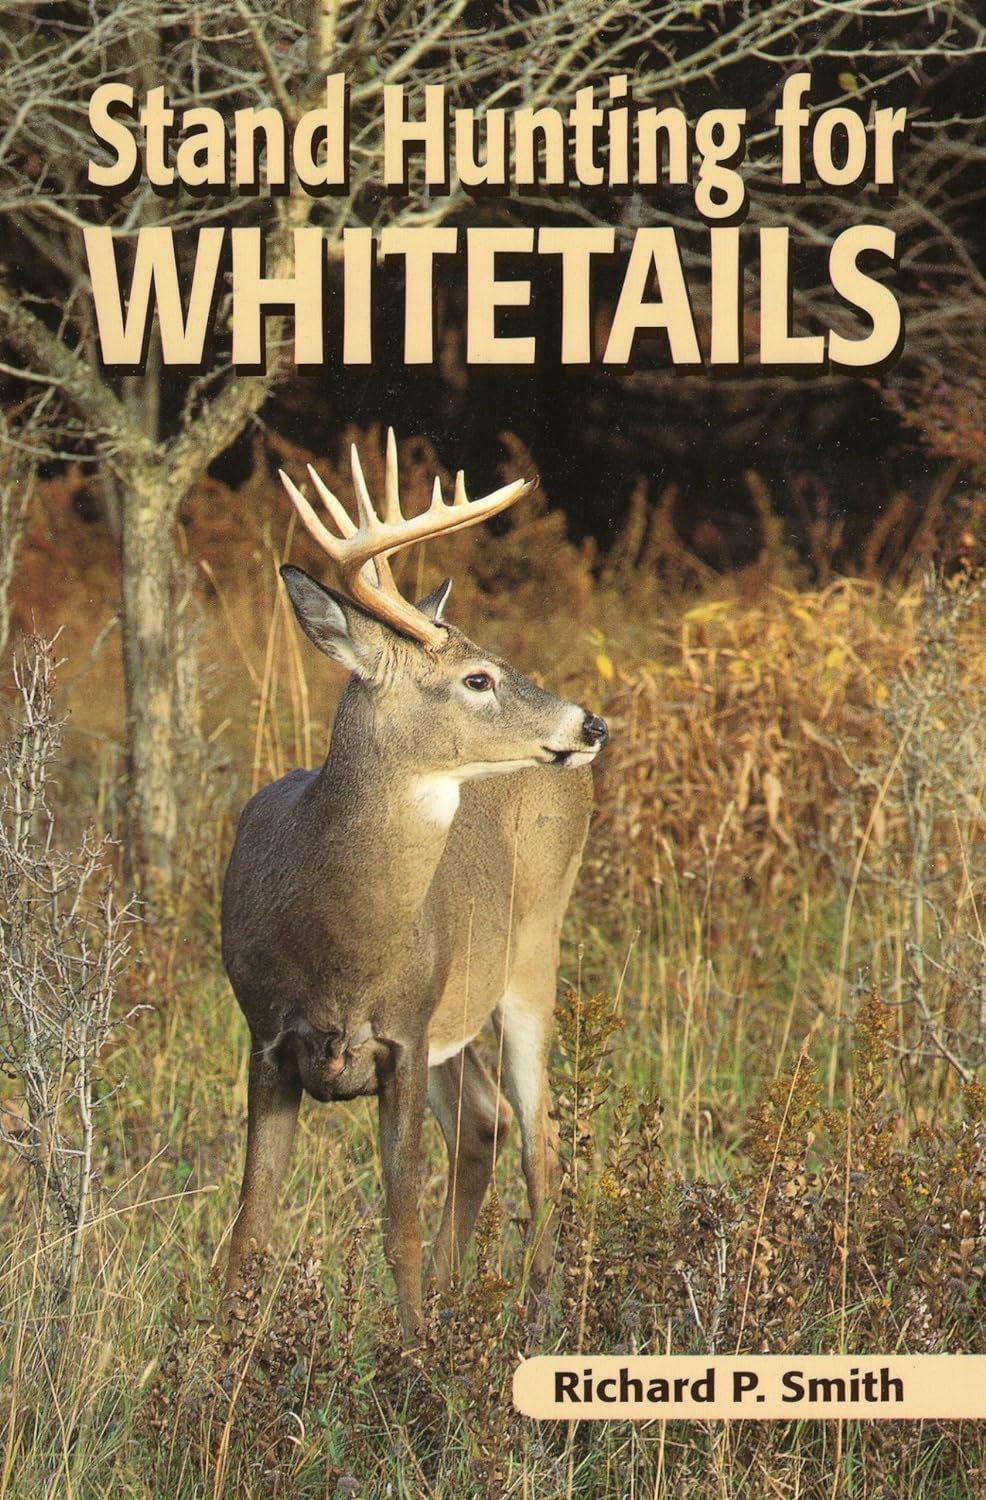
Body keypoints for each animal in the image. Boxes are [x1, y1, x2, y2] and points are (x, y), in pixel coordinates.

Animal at [221, 431, 608, 1340]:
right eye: (477, 678)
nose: (591, 724)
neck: (338, 944)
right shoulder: (265, 1038)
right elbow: (249, 1237)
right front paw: (214, 1366)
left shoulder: (400, 1033)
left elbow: (394, 1227)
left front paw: (412, 1360)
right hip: (456, 1018)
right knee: (485, 1126)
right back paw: (452, 1294)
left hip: (532, 953)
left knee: (540, 1136)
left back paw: (539, 1312)